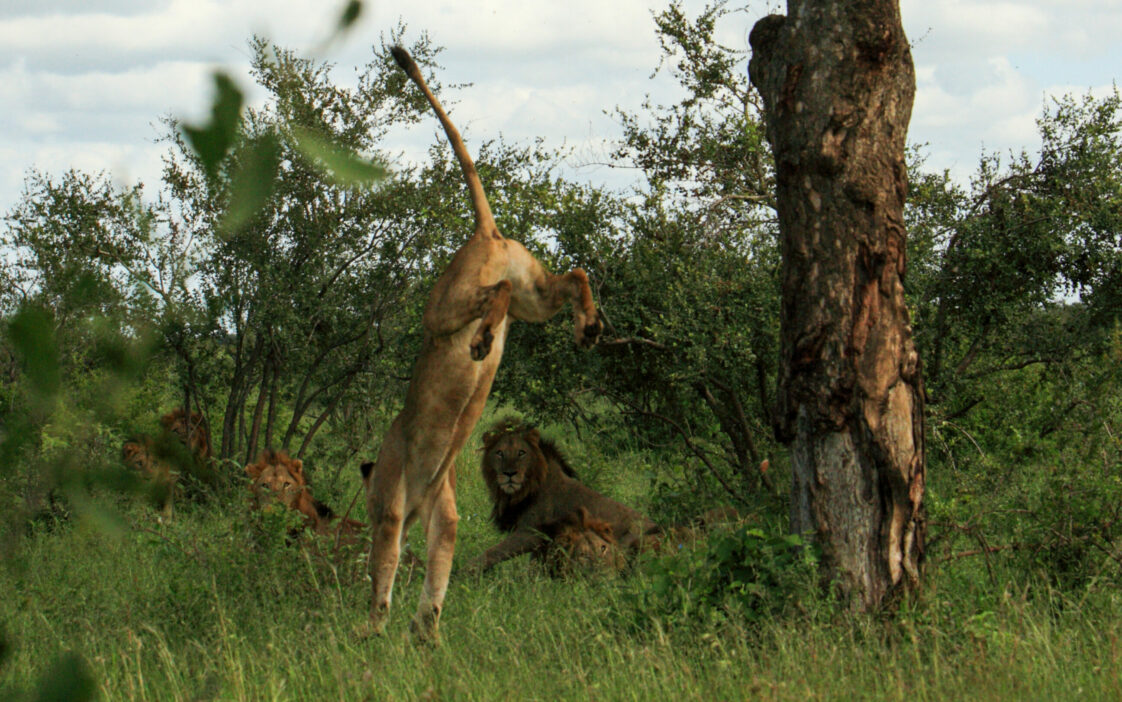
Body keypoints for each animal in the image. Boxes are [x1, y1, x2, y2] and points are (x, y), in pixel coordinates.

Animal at [359, 46, 602, 641]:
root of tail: (484, 232)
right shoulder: (443, 517)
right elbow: (437, 575)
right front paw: (425, 632)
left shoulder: (394, 505)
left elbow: (384, 566)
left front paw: (374, 630)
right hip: (535, 295)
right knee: (573, 273)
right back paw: (588, 327)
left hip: (444, 307)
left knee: (495, 294)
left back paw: (483, 341)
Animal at [467, 421, 658, 574]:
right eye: (499, 453)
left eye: (521, 453)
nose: (509, 473)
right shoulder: (544, 541)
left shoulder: (531, 532)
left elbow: (491, 554)